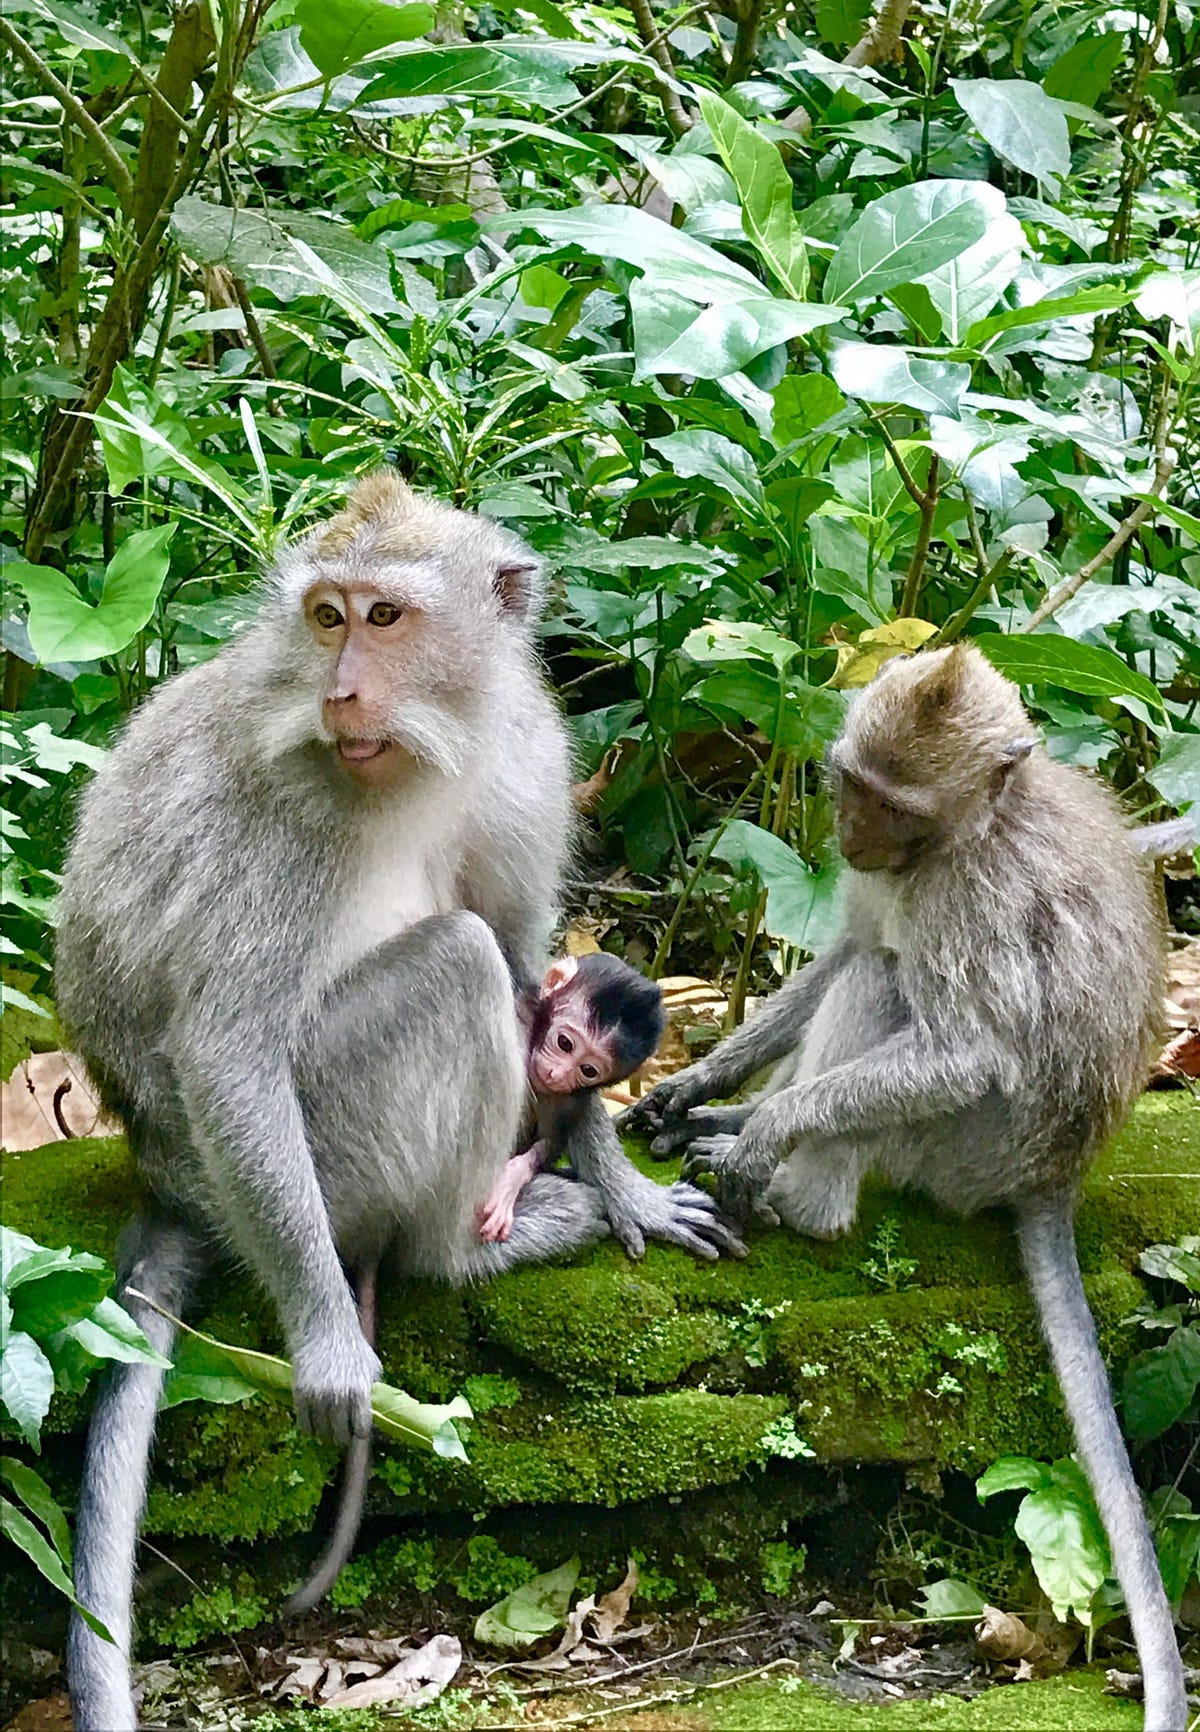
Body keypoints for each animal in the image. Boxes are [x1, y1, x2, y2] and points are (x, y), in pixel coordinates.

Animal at [287, 950, 667, 1617]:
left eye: (588, 1067)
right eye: (564, 1041)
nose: (555, 1070)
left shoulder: (568, 1092)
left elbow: (555, 1130)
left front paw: (518, 1177)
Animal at [622, 645, 1188, 1732]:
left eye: (897, 805)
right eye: (852, 786)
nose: (851, 835)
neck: (962, 838)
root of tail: (1058, 1173)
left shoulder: (968, 900)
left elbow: (965, 1050)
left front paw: (768, 1138)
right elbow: (845, 942)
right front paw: (701, 1086)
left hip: (975, 1149)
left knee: (894, 993)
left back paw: (796, 1194)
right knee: (872, 961)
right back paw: (723, 1122)